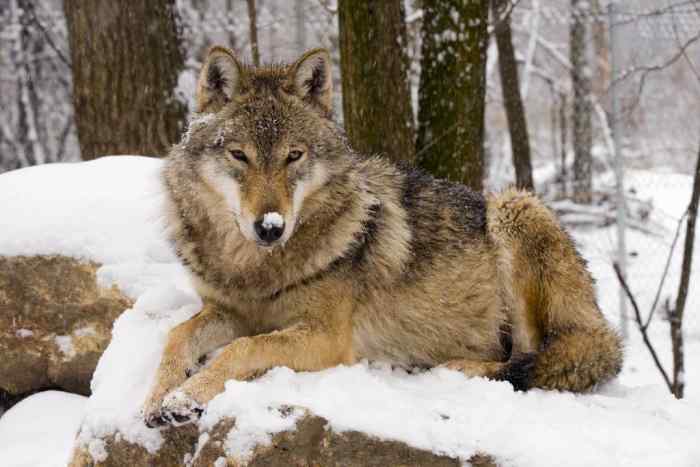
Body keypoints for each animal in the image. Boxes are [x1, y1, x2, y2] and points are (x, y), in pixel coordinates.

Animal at [143, 46, 623, 426]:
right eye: (239, 155)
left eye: (293, 156)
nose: (270, 227)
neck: (252, 267)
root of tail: (601, 322)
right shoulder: (228, 310)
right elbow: (177, 336)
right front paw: (159, 396)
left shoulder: (326, 338)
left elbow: (241, 349)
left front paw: (186, 397)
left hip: (516, 205)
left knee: (528, 358)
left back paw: (456, 368)